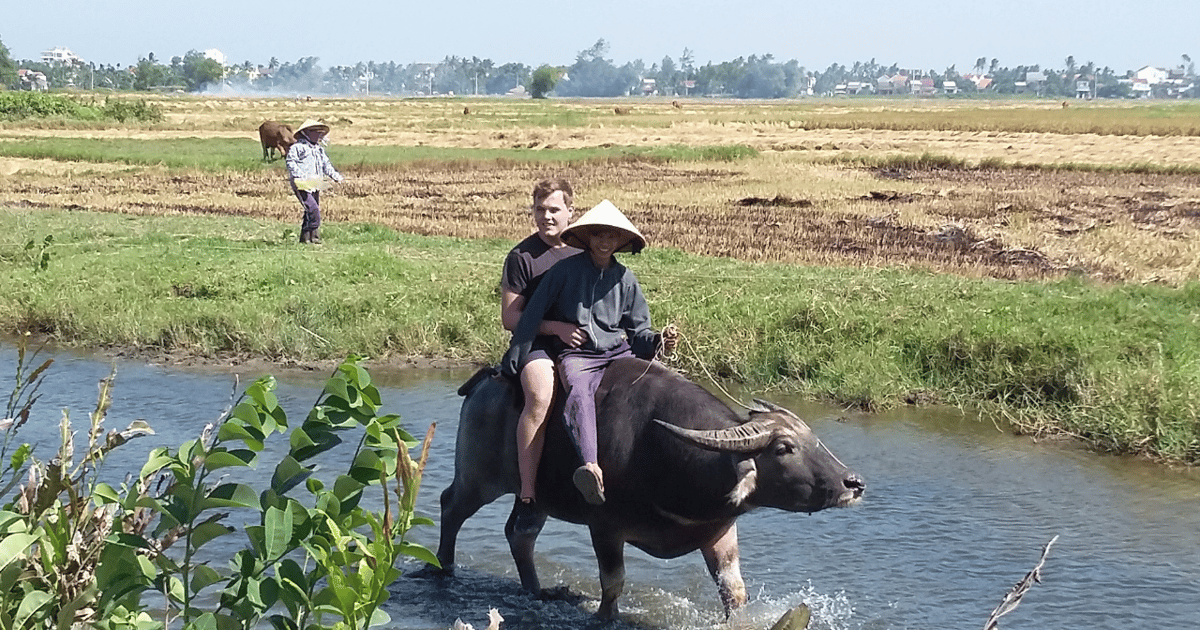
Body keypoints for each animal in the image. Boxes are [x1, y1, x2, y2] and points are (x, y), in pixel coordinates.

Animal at [434, 357, 864, 619]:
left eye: (812, 438)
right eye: (783, 448)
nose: (853, 483)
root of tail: (483, 382)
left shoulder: (720, 532)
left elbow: (734, 591)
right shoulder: (604, 527)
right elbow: (613, 583)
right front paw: (606, 617)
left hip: (534, 495)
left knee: (519, 534)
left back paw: (537, 591)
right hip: (478, 478)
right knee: (451, 506)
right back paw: (443, 567)